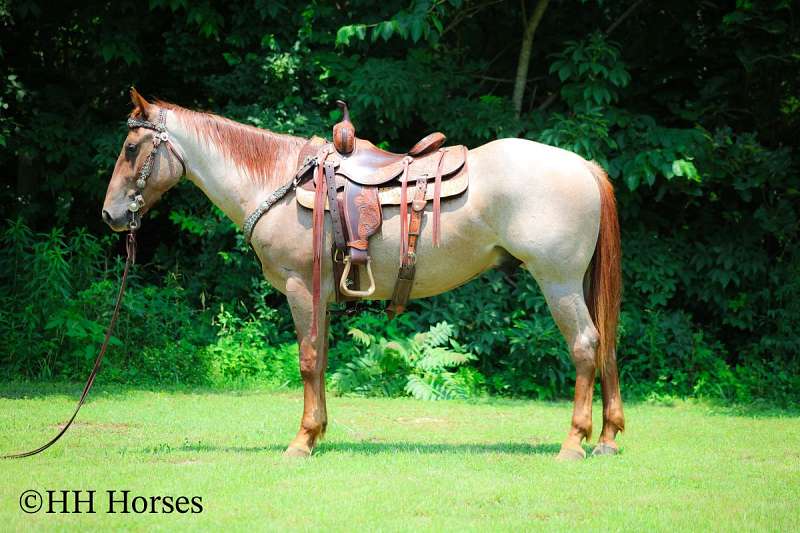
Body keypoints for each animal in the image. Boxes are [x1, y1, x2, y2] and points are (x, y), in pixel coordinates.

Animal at [102, 88, 625, 460]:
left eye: (130, 147)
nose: (110, 215)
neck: (279, 183)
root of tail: (583, 165)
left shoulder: (301, 289)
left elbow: (308, 360)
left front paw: (301, 441)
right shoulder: (321, 295)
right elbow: (321, 361)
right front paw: (317, 434)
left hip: (557, 282)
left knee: (585, 347)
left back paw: (574, 442)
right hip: (579, 284)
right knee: (606, 346)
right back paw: (607, 437)